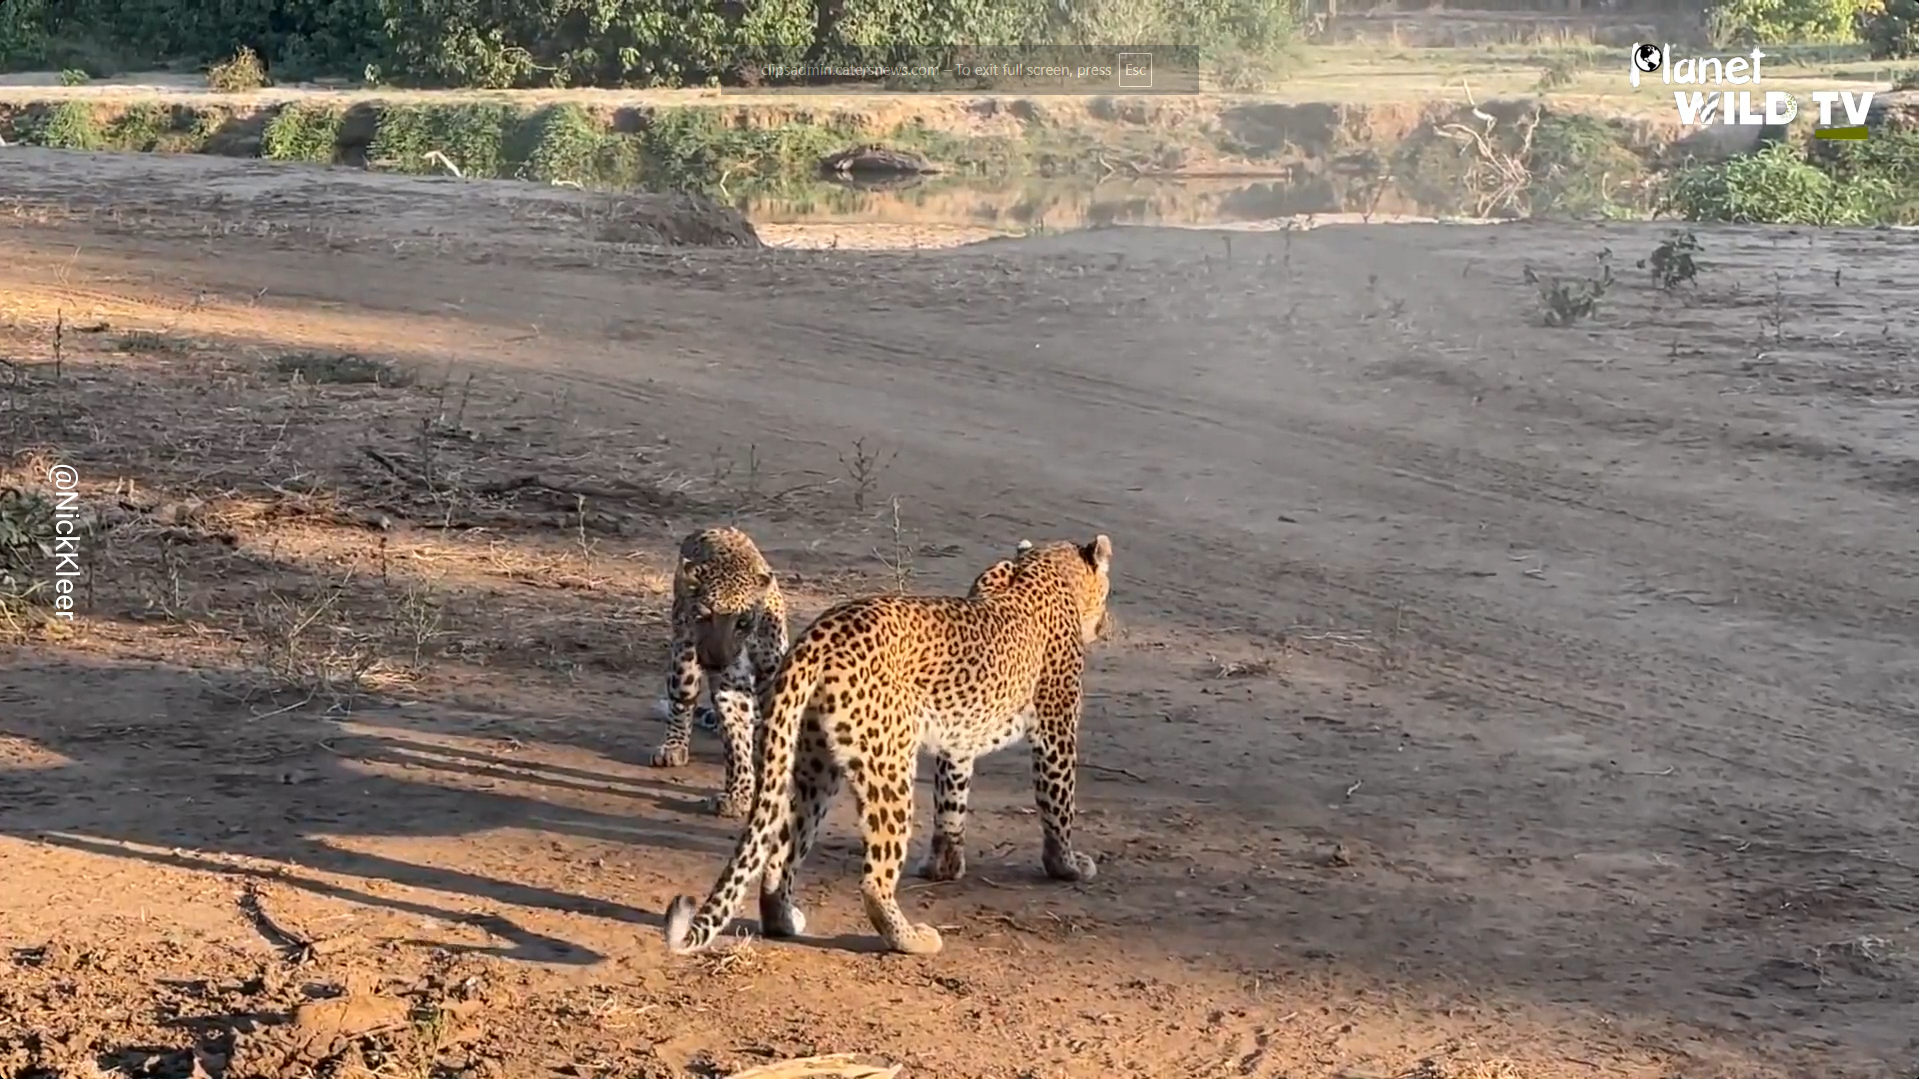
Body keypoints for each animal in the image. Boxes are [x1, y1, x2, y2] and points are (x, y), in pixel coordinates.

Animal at [646, 525, 790, 818]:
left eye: (742, 622)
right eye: (703, 616)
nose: (717, 660)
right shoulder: (730, 684)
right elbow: (736, 741)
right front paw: (738, 795)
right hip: (684, 660)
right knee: (682, 700)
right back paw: (673, 748)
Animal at [663, 533, 1113, 957]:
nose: (1106, 622)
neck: (1042, 567)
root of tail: (818, 638)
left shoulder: (957, 741)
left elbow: (952, 803)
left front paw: (943, 866)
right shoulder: (1056, 729)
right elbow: (1059, 805)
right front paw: (1068, 866)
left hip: (813, 764)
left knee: (778, 853)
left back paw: (784, 920)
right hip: (888, 764)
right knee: (874, 879)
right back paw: (913, 938)